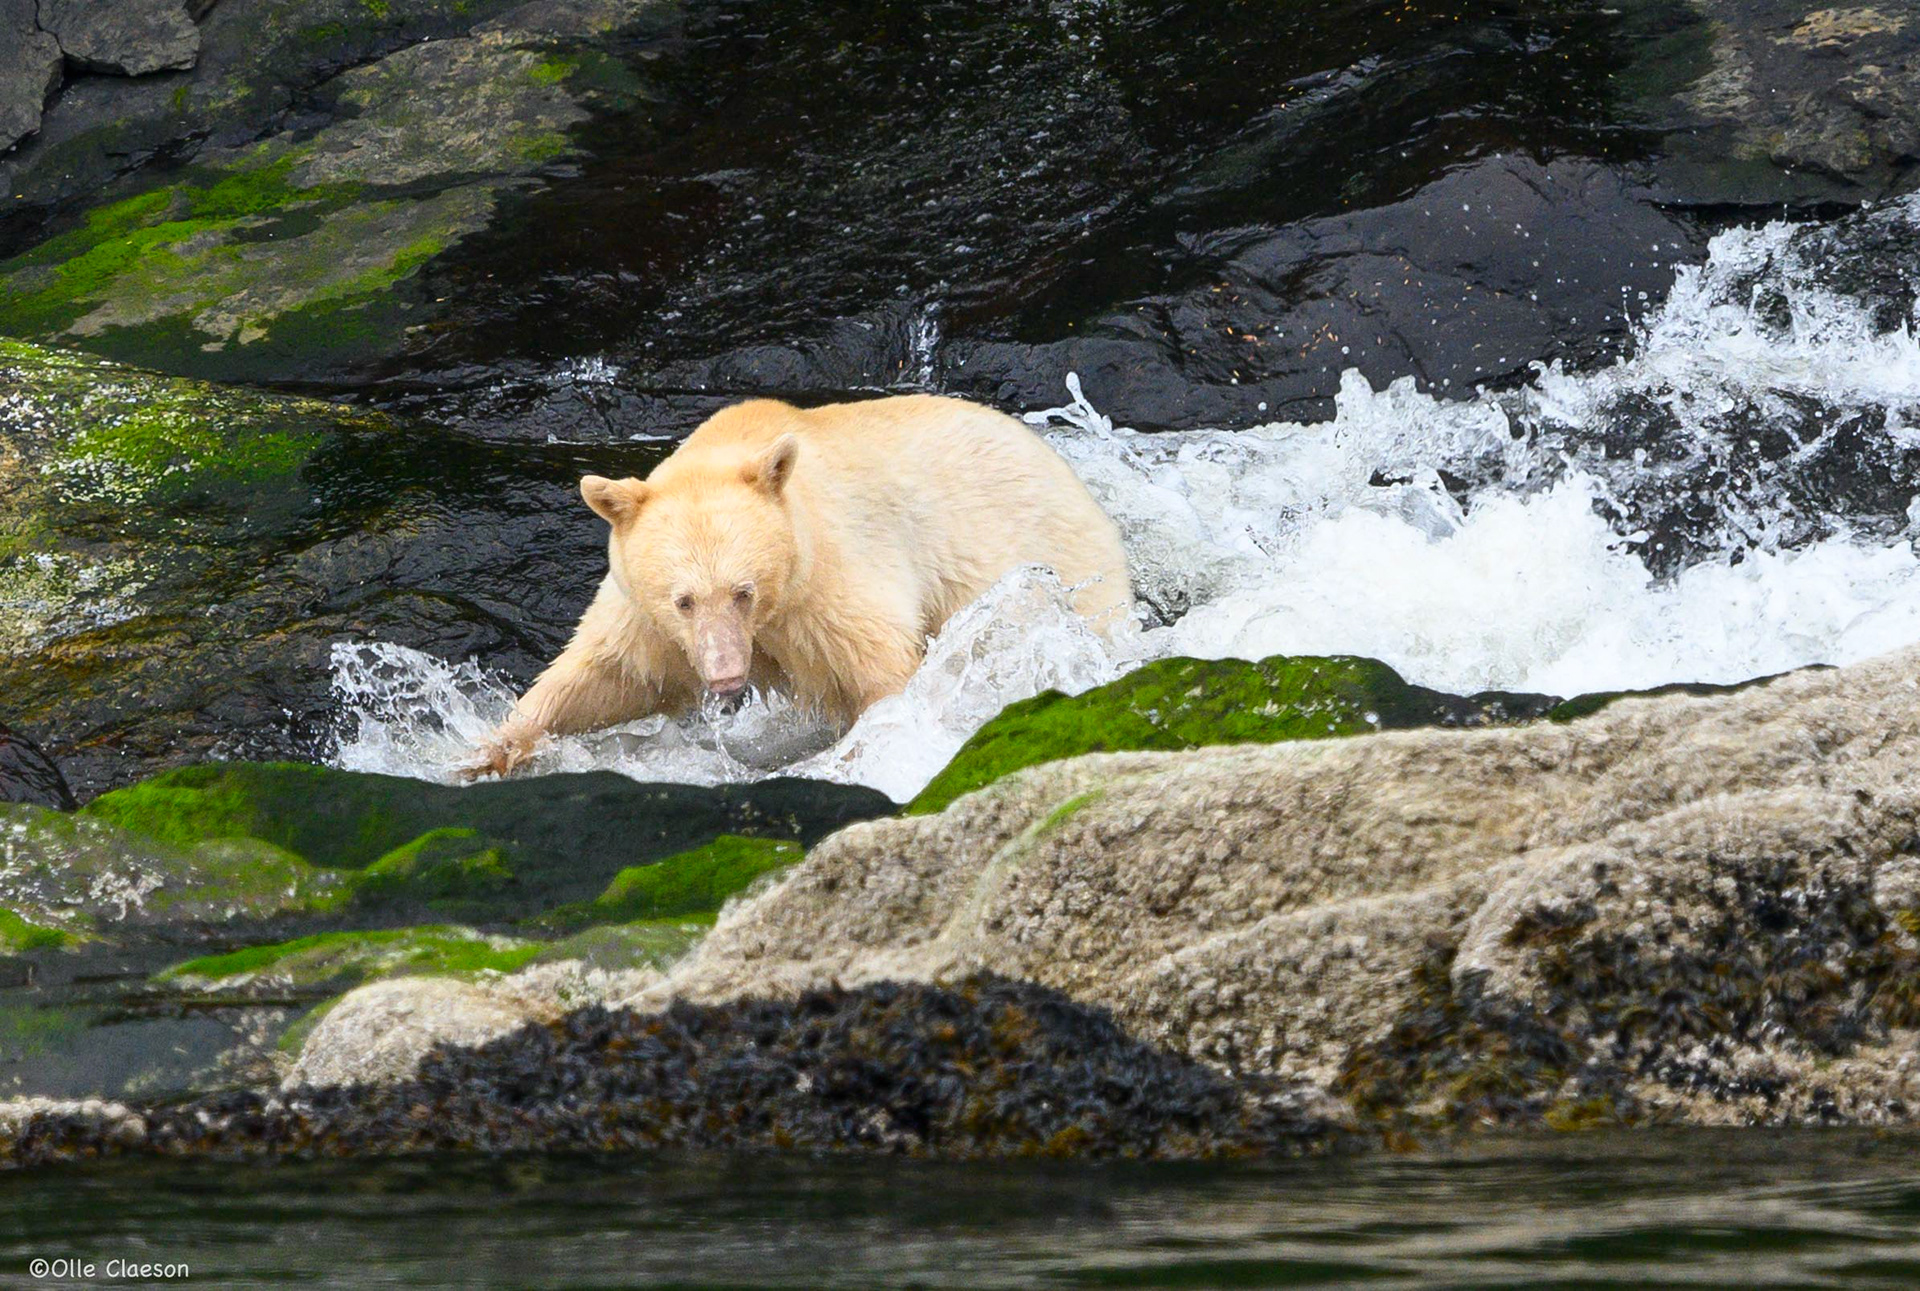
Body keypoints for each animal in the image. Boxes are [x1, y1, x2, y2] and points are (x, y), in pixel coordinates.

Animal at [465, 393, 1131, 778]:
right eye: (684, 600)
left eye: (744, 591)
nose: (725, 675)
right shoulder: (648, 619)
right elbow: (607, 677)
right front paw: (485, 751)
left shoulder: (830, 585)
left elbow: (883, 673)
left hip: (1057, 564)